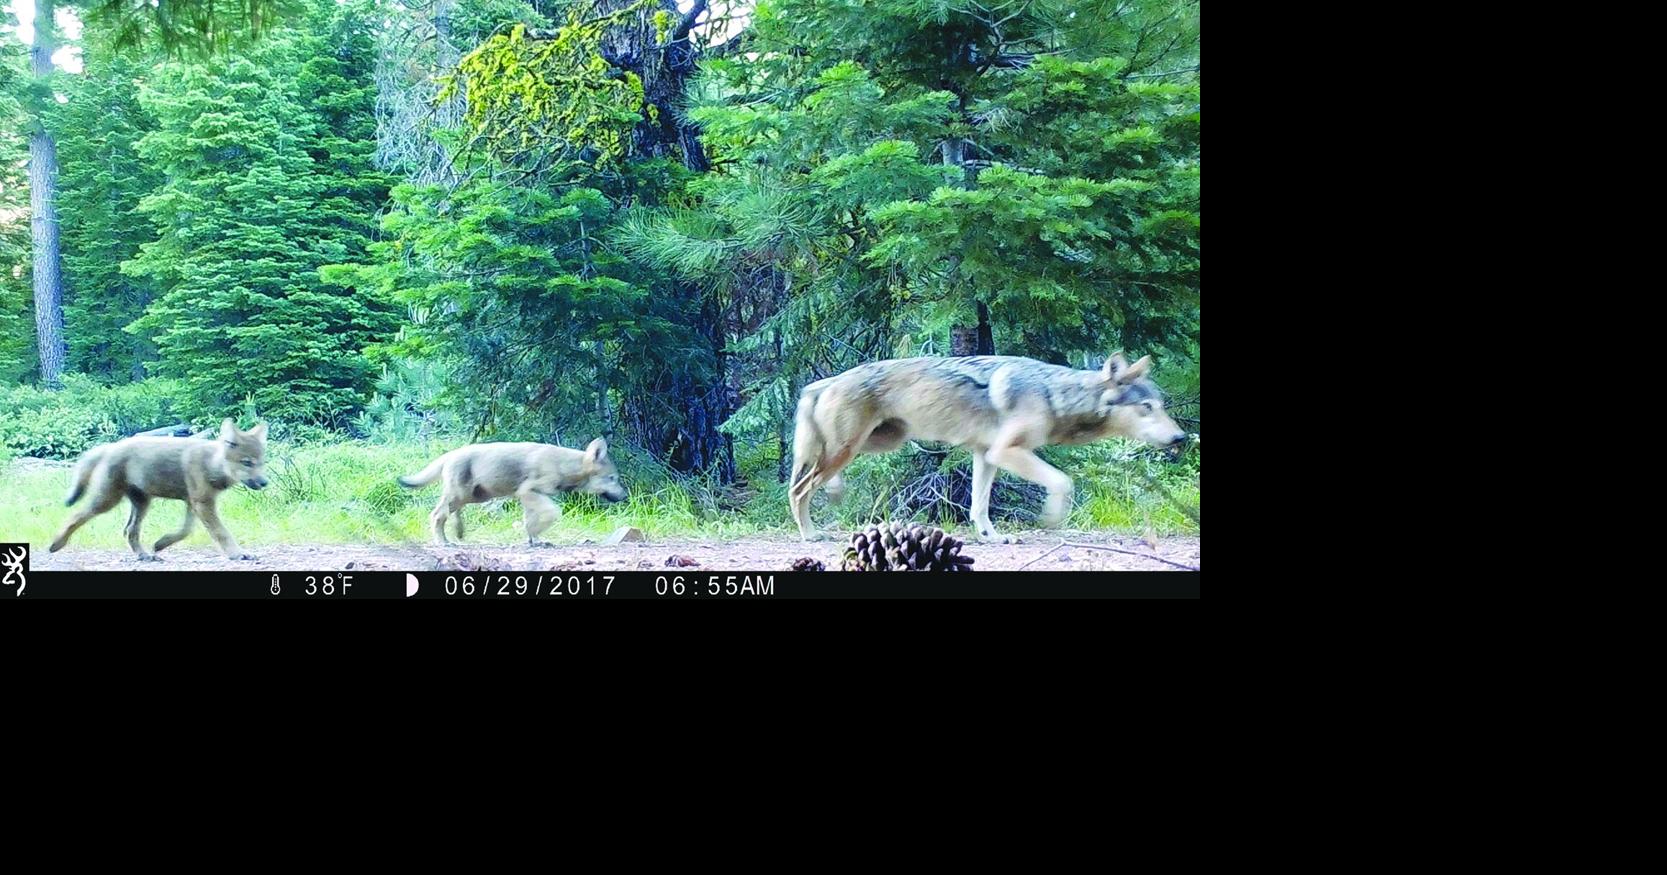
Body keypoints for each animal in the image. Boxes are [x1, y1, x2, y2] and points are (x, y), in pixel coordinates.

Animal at [48, 419, 270, 561]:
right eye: (247, 463)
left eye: (261, 463)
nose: (265, 482)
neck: (211, 464)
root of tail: (110, 446)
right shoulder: (202, 503)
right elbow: (221, 533)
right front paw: (238, 554)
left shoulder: (193, 503)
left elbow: (185, 531)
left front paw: (161, 544)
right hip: (107, 501)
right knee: (75, 515)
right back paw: (56, 544)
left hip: (142, 503)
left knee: (129, 530)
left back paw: (145, 556)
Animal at [398, 439, 626, 546]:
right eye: (613, 478)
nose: (625, 496)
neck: (565, 466)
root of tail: (449, 454)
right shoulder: (528, 492)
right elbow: (552, 513)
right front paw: (536, 537)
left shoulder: (528, 497)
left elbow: (529, 522)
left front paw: (535, 541)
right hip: (461, 496)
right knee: (437, 515)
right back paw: (444, 542)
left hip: (473, 497)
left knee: (450, 514)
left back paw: (459, 533)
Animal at [788, 353, 1188, 542]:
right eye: (1146, 407)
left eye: (1162, 405)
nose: (1181, 438)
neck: (1054, 395)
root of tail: (823, 382)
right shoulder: (1005, 452)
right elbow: (1063, 482)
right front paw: (1051, 519)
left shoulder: (985, 455)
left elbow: (978, 507)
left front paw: (992, 537)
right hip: (849, 449)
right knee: (798, 490)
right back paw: (809, 534)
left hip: (878, 444)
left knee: (816, 481)